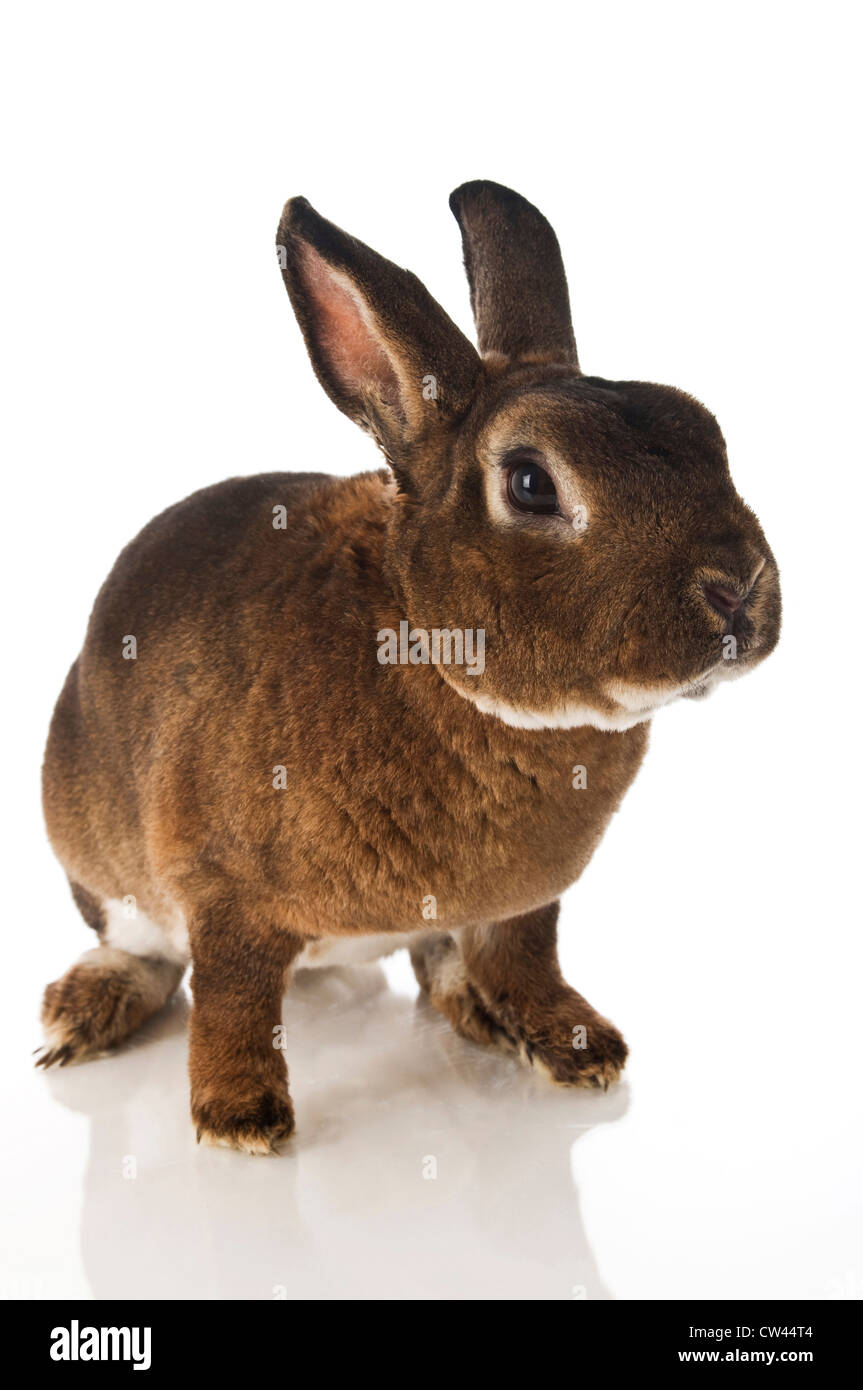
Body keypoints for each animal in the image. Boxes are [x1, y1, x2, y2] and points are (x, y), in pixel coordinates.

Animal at [38, 180, 781, 1153]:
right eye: (531, 483)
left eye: (706, 431)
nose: (737, 590)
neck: (433, 659)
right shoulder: (225, 897)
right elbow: (233, 1001)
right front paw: (240, 1118)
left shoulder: (523, 905)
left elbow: (527, 959)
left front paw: (576, 1048)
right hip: (99, 862)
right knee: (149, 958)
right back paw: (81, 1016)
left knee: (437, 967)